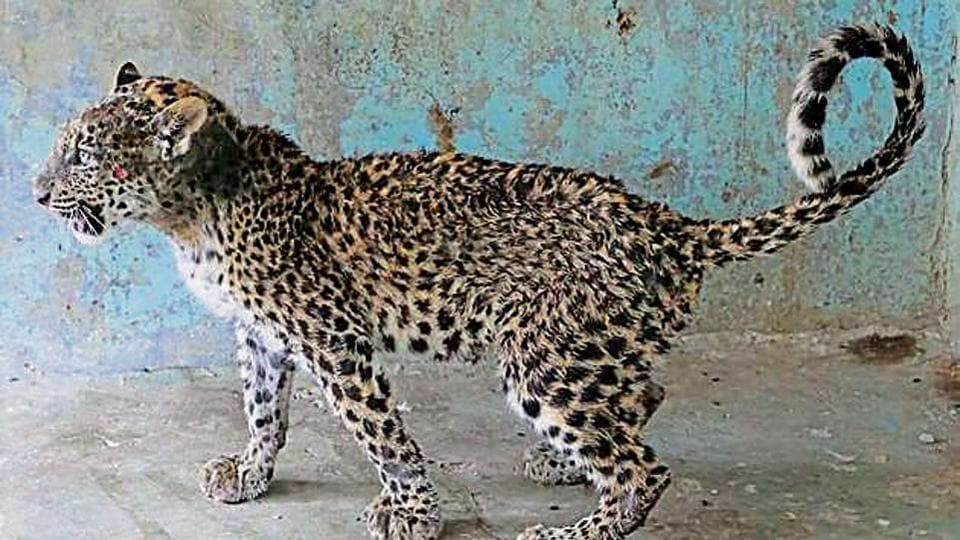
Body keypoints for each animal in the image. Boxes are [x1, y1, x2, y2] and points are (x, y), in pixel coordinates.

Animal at [33, 24, 924, 540]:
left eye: (84, 155)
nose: (38, 194)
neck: (191, 212)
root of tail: (669, 225)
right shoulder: (260, 332)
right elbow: (261, 409)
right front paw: (250, 475)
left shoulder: (334, 338)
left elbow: (381, 435)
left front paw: (411, 512)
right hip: (593, 352)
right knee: (641, 403)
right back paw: (562, 466)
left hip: (545, 357)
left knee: (645, 466)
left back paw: (572, 530)